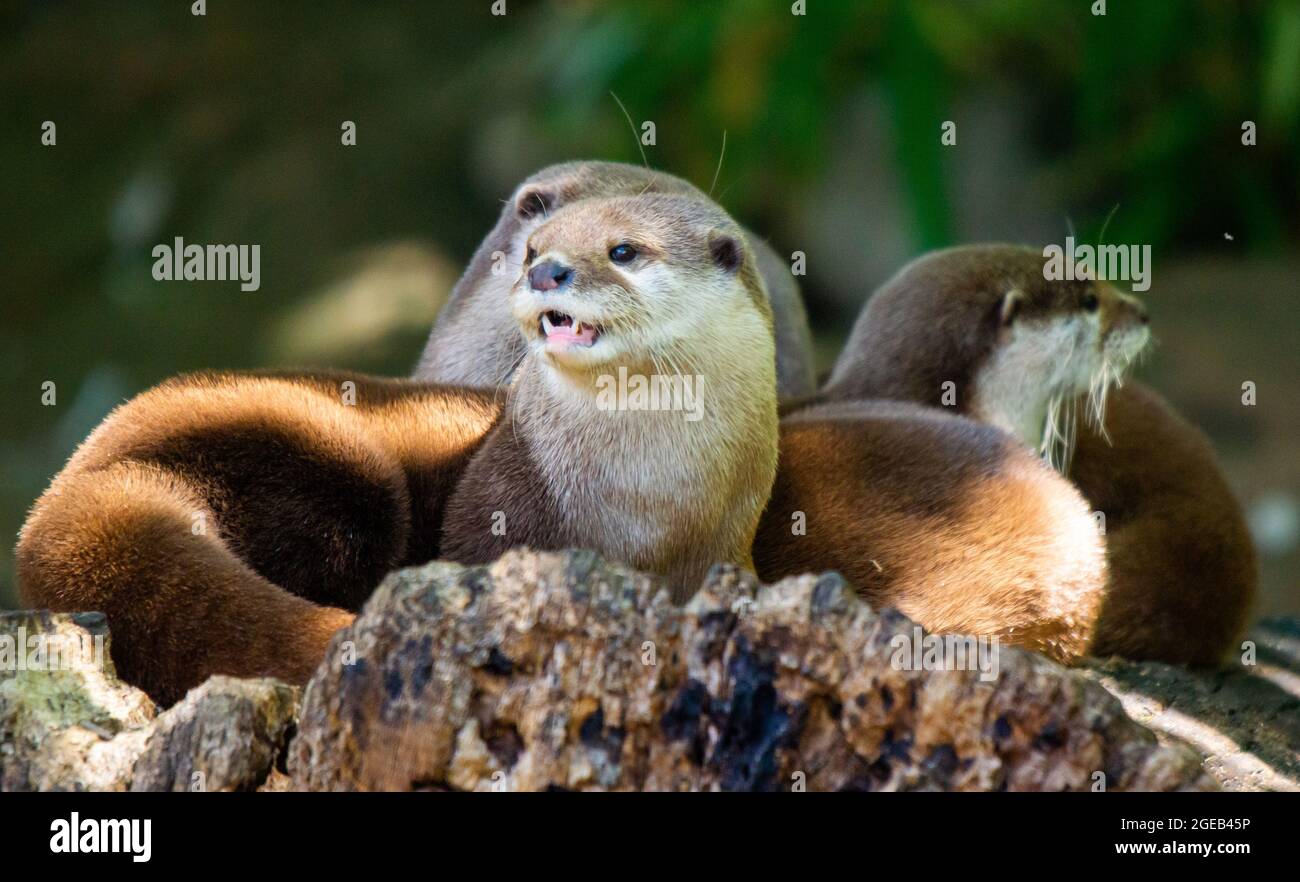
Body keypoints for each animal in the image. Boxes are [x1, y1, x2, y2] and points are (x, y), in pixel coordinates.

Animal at [17, 193, 778, 704]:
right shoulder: (500, 501)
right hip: (323, 455)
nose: (548, 271)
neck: (647, 502)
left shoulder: (727, 542)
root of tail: (84, 472)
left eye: (624, 250)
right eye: (535, 248)